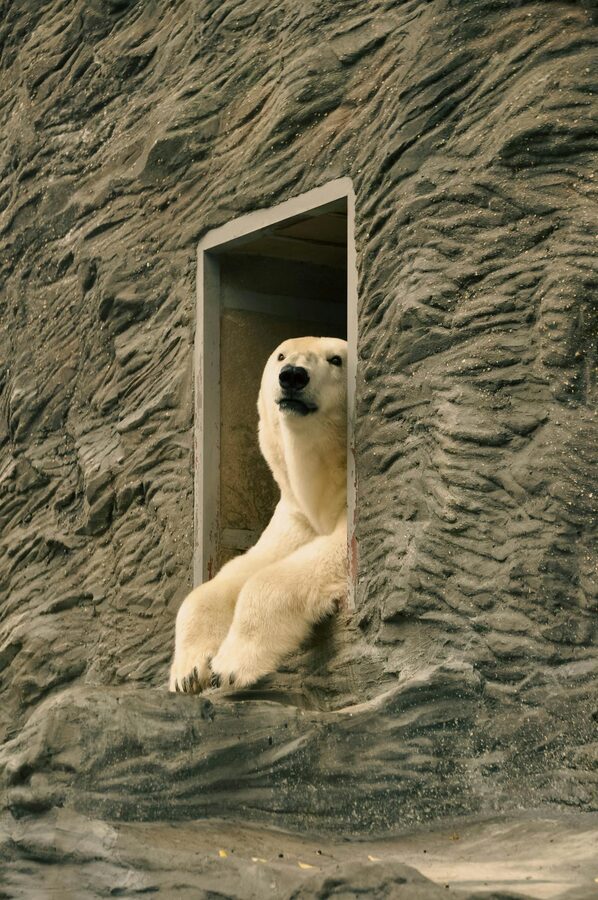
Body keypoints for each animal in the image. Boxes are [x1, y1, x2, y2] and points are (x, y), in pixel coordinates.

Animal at [169, 335, 348, 693]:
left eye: (336, 359)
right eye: (281, 355)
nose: (293, 376)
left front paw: (229, 665)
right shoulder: (295, 515)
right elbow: (242, 568)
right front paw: (189, 671)